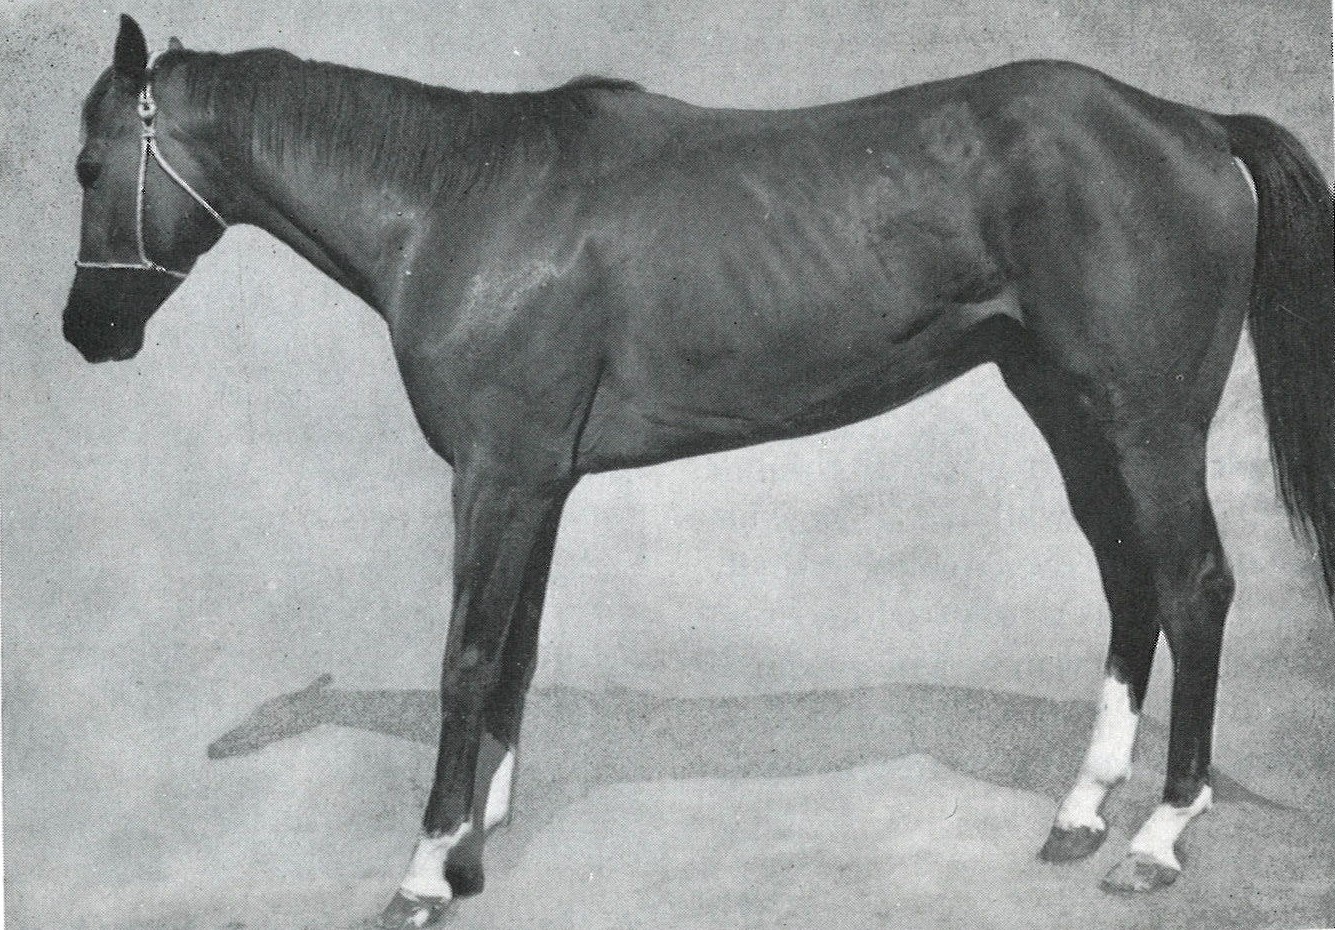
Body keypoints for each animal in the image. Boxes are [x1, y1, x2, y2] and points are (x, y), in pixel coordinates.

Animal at [65, 14, 1332, 929]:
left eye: (87, 163)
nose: (86, 332)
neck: (461, 200)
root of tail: (1193, 123)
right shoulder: (541, 480)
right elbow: (517, 654)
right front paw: (478, 843)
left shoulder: (497, 477)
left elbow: (468, 661)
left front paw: (426, 870)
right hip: (1069, 412)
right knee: (1129, 583)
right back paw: (1080, 814)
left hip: (1149, 424)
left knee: (1195, 588)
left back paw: (1158, 840)